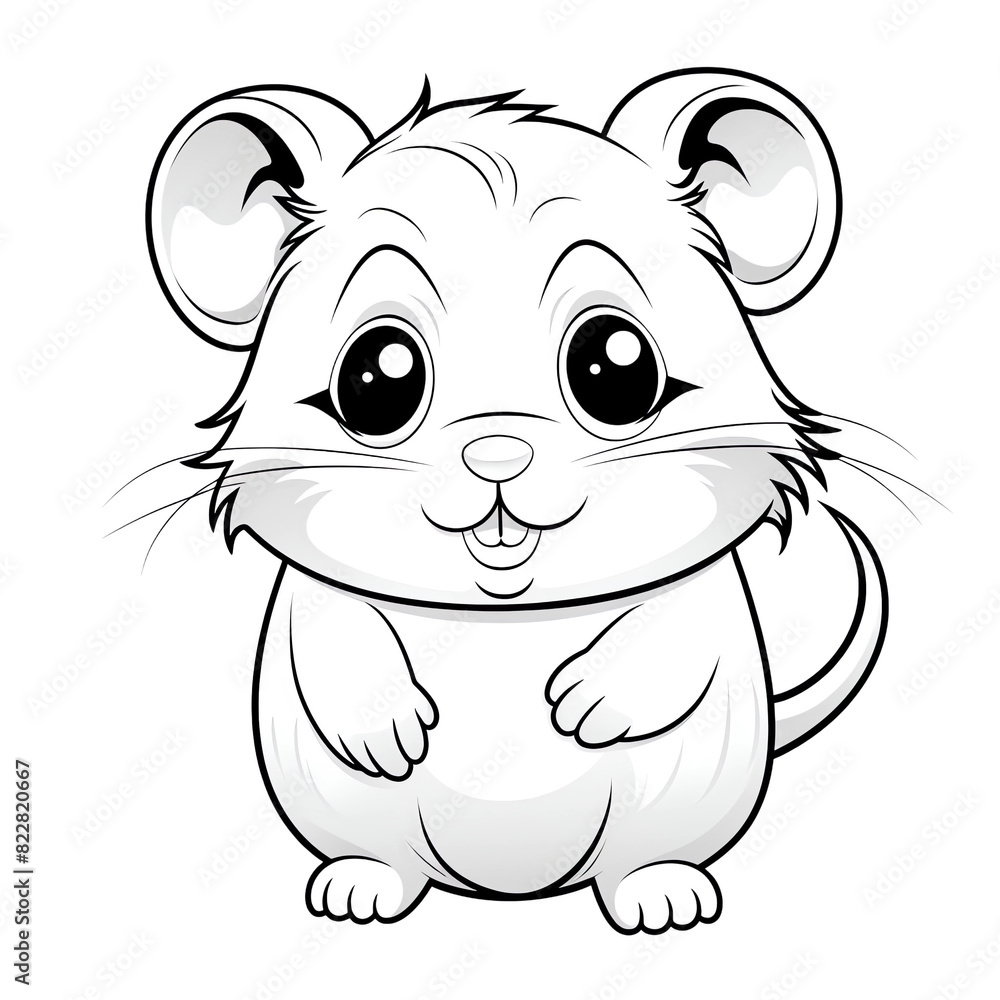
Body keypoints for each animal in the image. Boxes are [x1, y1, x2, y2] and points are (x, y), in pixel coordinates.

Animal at [145, 69, 888, 933]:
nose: (496, 453)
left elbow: (674, 625)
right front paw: (389, 732)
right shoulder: (313, 591)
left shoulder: (701, 581)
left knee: (646, 860)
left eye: (616, 366)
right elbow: (336, 631)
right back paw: (359, 891)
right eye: (376, 378)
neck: (505, 616)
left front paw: (585, 705)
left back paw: (662, 897)